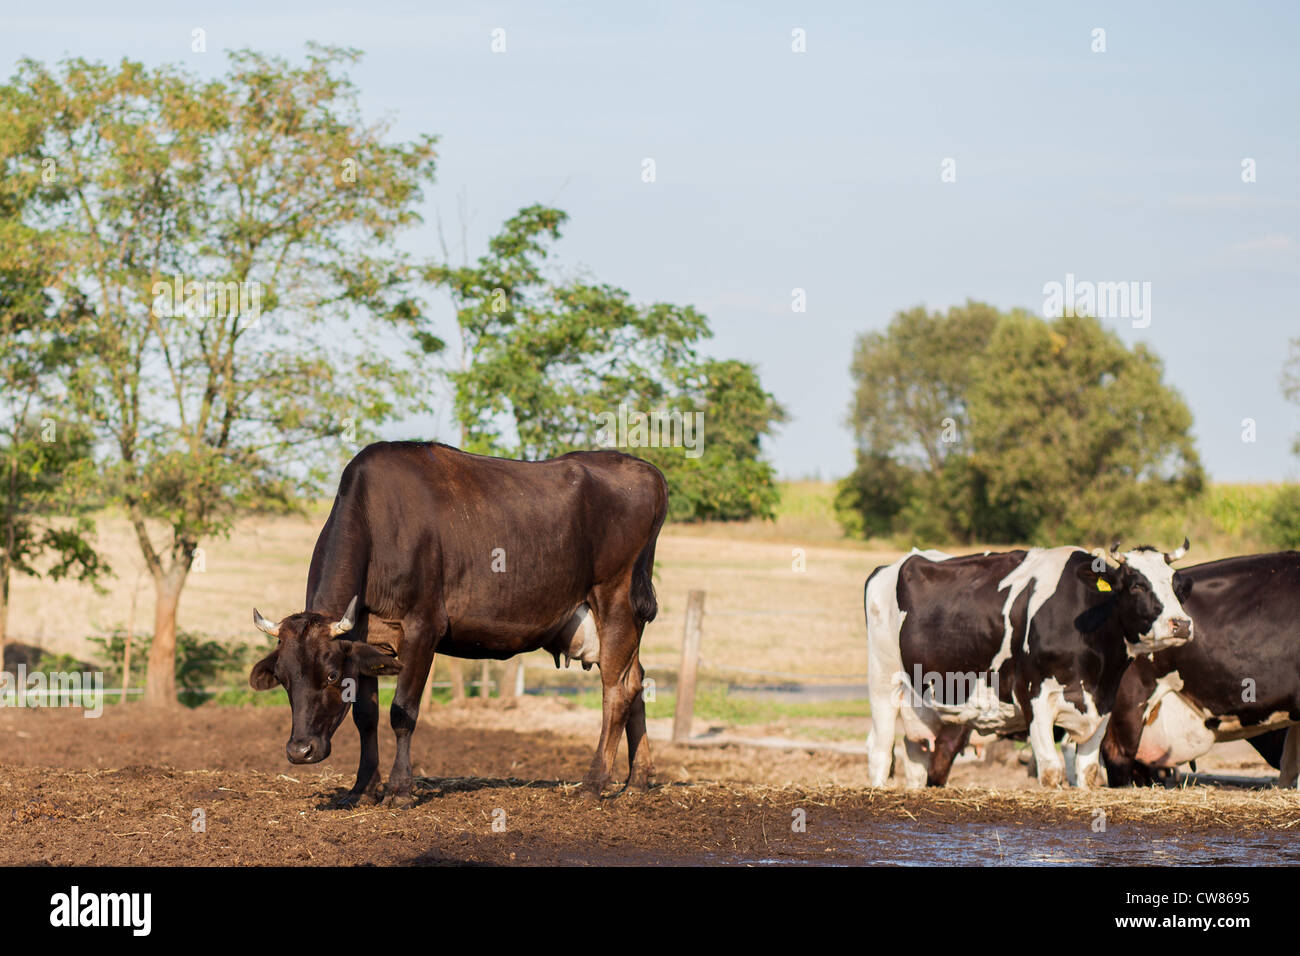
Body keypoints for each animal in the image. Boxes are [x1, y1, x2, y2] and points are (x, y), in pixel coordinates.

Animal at [247, 441, 668, 804]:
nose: (300, 750)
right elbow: (366, 717)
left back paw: (594, 784)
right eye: (283, 678)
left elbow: (402, 712)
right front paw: (363, 789)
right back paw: (637, 782)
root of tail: (644, 469)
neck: (378, 524)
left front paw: (400, 790)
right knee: (636, 680)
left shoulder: (423, 627)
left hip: (616, 599)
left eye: (331, 675)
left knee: (616, 690)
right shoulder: (365, 642)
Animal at [865, 541, 1194, 789]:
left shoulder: (1103, 704)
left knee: (916, 757)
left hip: (923, 705)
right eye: (1137, 585)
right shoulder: (1034, 695)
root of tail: (893, 565)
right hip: (883, 682)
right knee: (880, 750)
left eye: (1176, 587)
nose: (1181, 623)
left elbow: (1087, 772)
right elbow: (1050, 770)